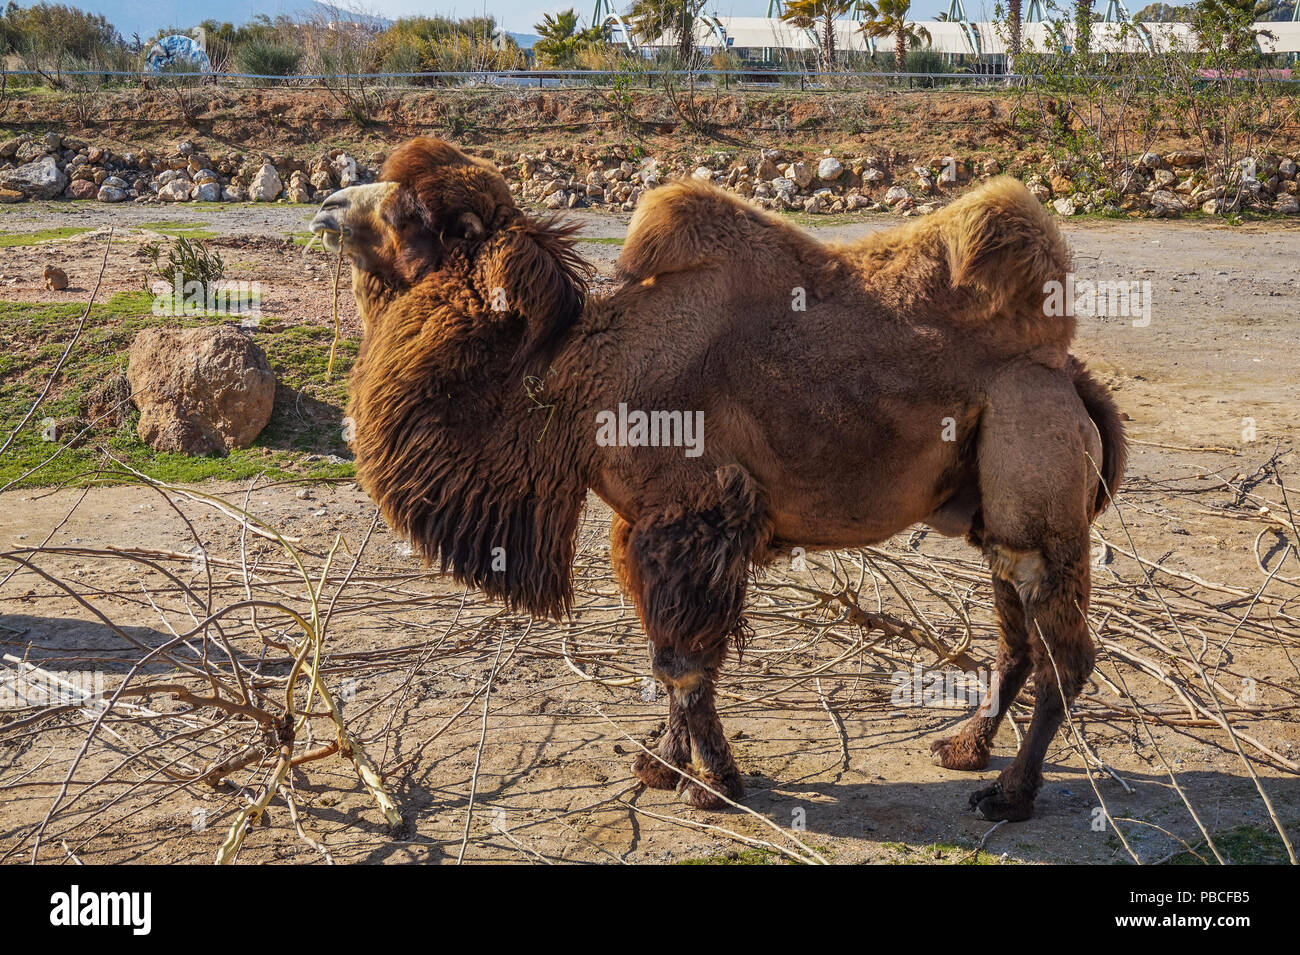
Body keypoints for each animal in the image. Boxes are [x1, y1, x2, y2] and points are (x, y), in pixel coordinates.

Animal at [309, 138, 1126, 821]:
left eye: (413, 213)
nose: (327, 205)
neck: (578, 375)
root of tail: (1068, 373)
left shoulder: (695, 515)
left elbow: (682, 662)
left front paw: (716, 785)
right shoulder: (640, 524)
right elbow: (668, 652)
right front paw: (663, 767)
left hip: (1034, 476)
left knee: (1065, 653)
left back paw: (1010, 794)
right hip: (993, 513)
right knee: (1017, 640)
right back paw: (963, 748)